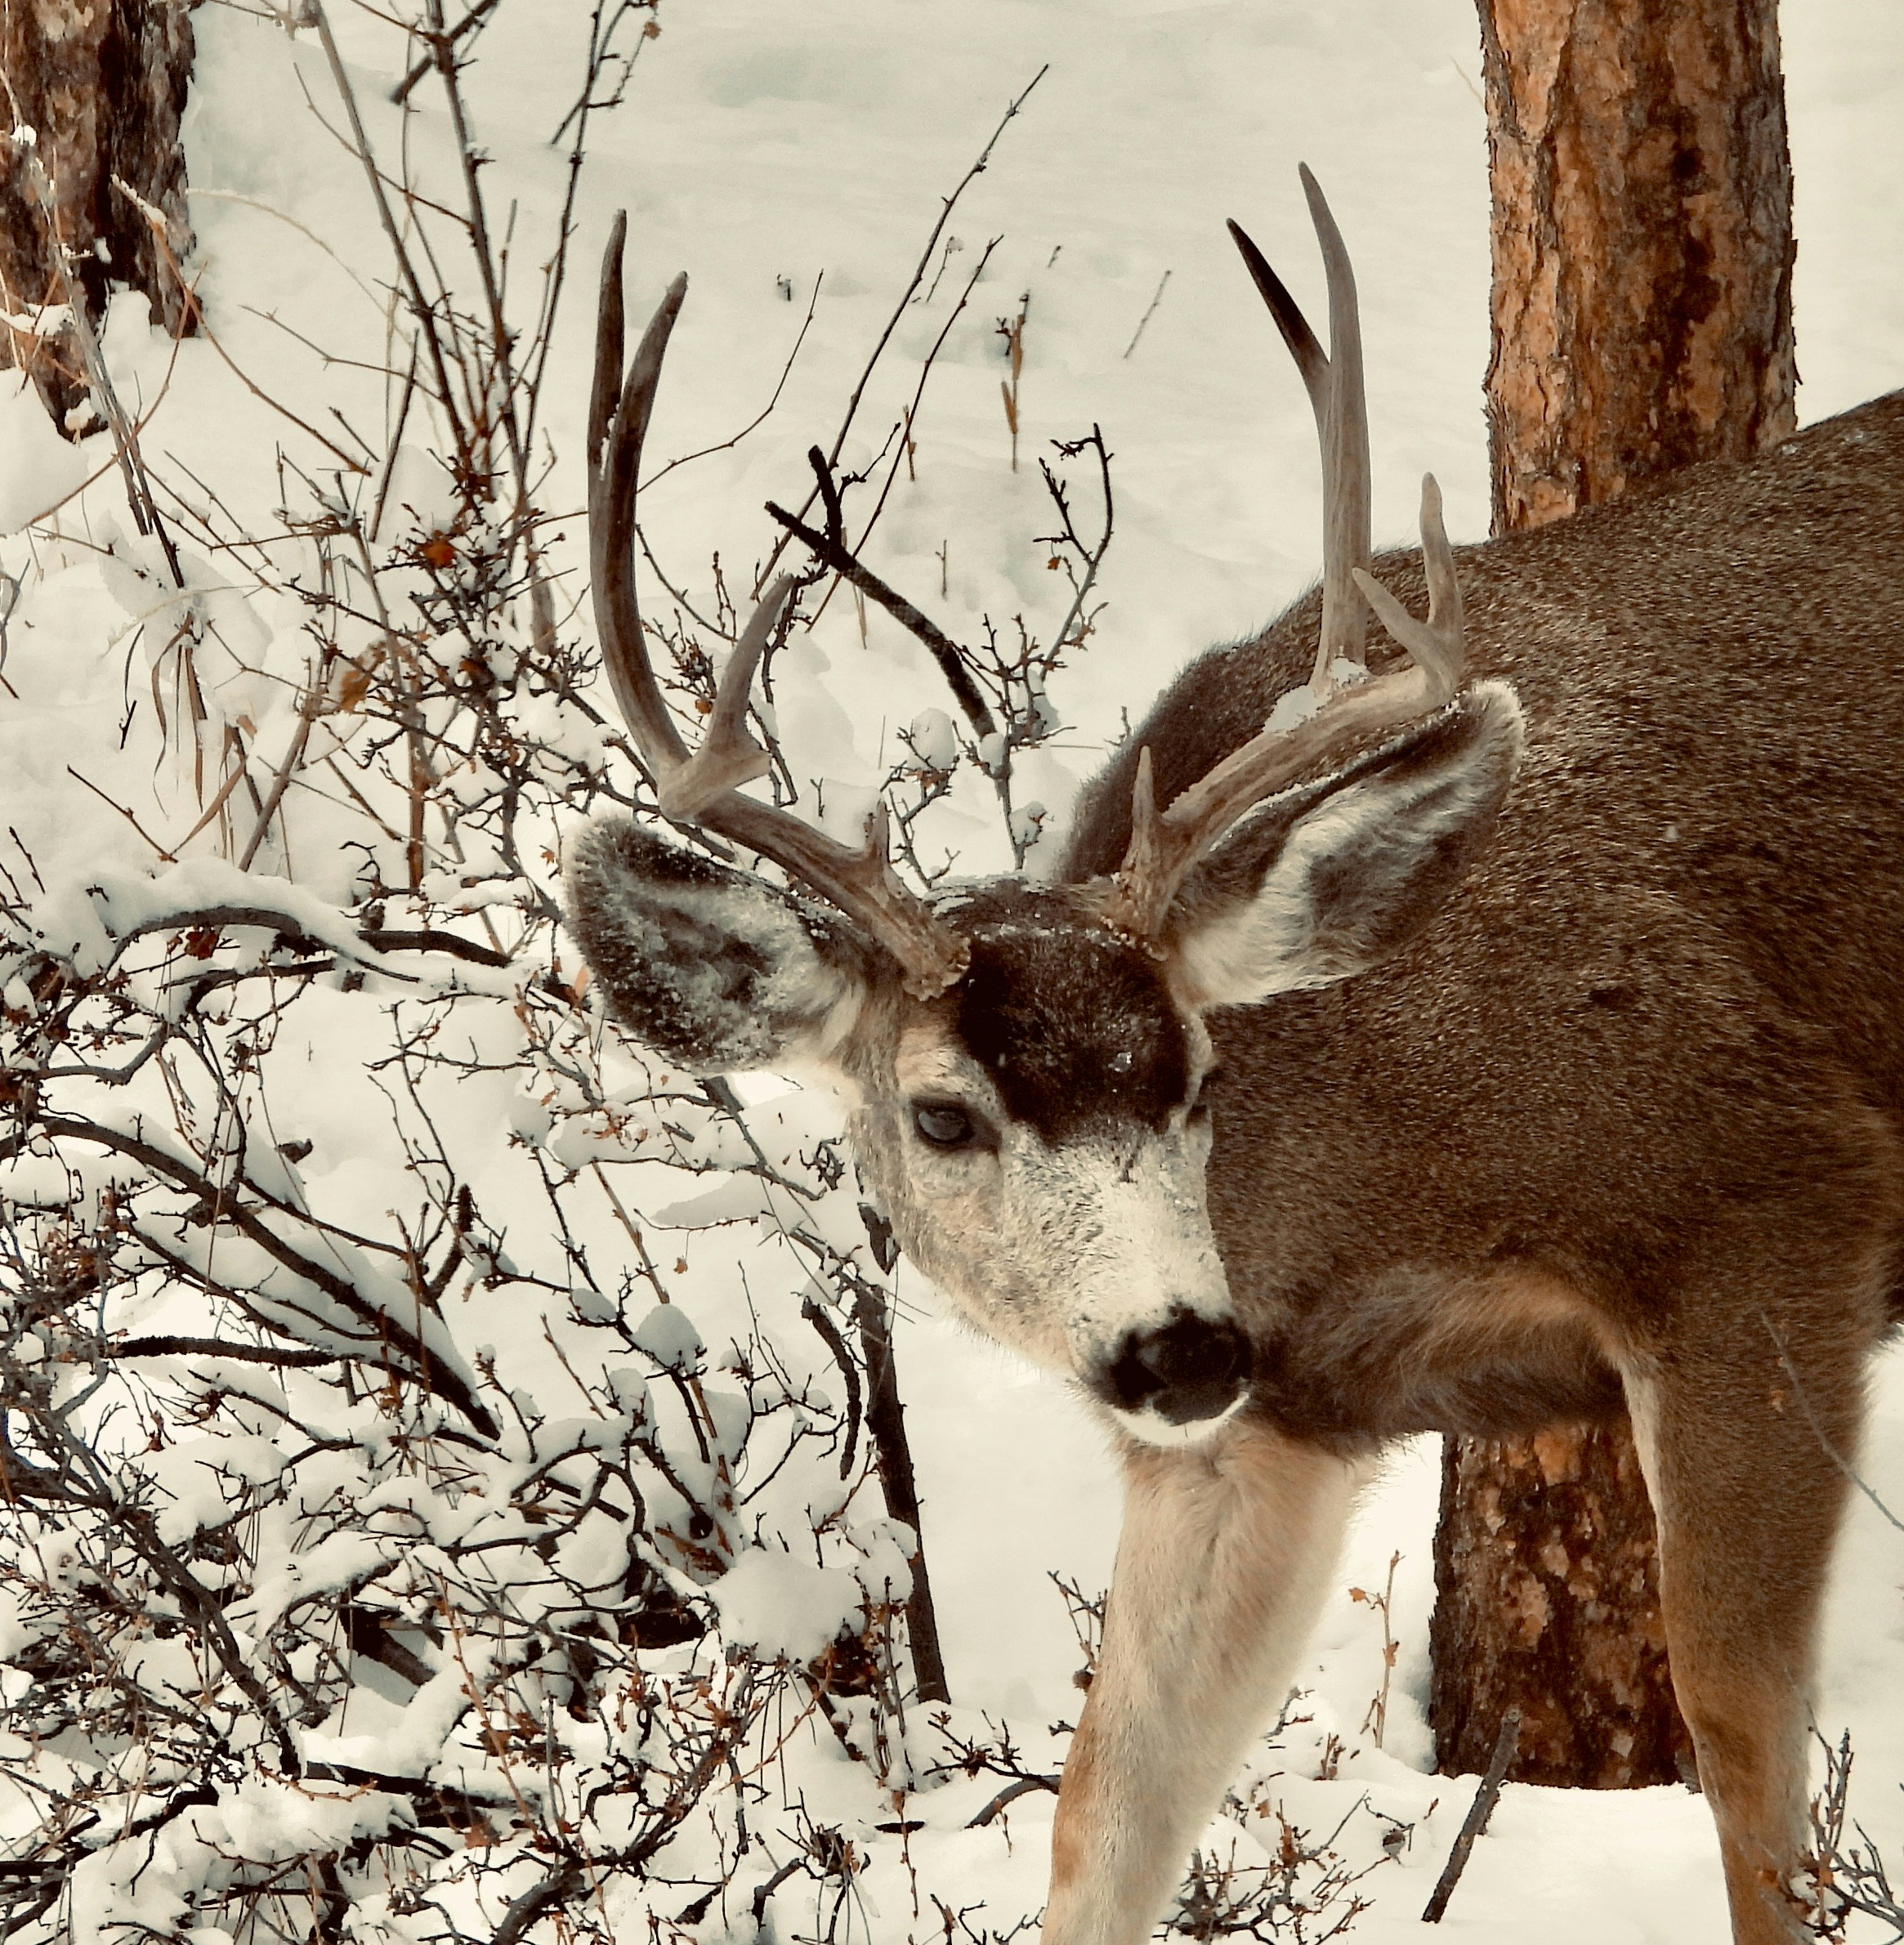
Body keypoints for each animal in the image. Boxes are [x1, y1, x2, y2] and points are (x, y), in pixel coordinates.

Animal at [563, 168, 1904, 1945]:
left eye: (1195, 1073)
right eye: (943, 1113)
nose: (1181, 1343)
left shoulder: (1763, 1190)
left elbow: (1746, 1751)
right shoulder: (1274, 1426)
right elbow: (1105, 1813)